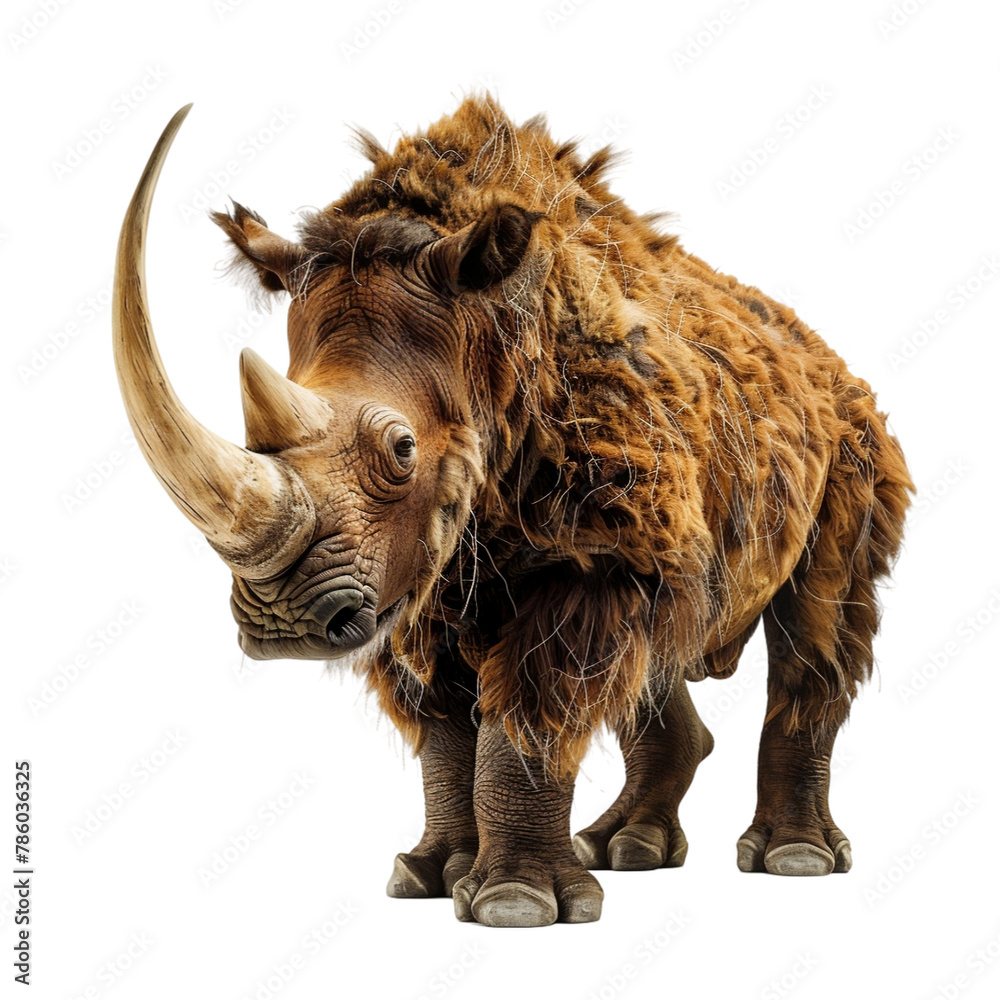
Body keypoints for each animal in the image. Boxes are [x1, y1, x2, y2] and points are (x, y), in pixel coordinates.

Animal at [112, 98, 913, 927]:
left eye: (402, 450)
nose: (282, 626)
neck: (482, 334)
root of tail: (819, 354)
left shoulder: (596, 545)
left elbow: (530, 705)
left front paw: (514, 904)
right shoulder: (415, 574)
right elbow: (442, 728)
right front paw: (429, 877)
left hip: (853, 447)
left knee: (818, 619)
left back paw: (794, 860)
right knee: (661, 636)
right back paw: (628, 849)